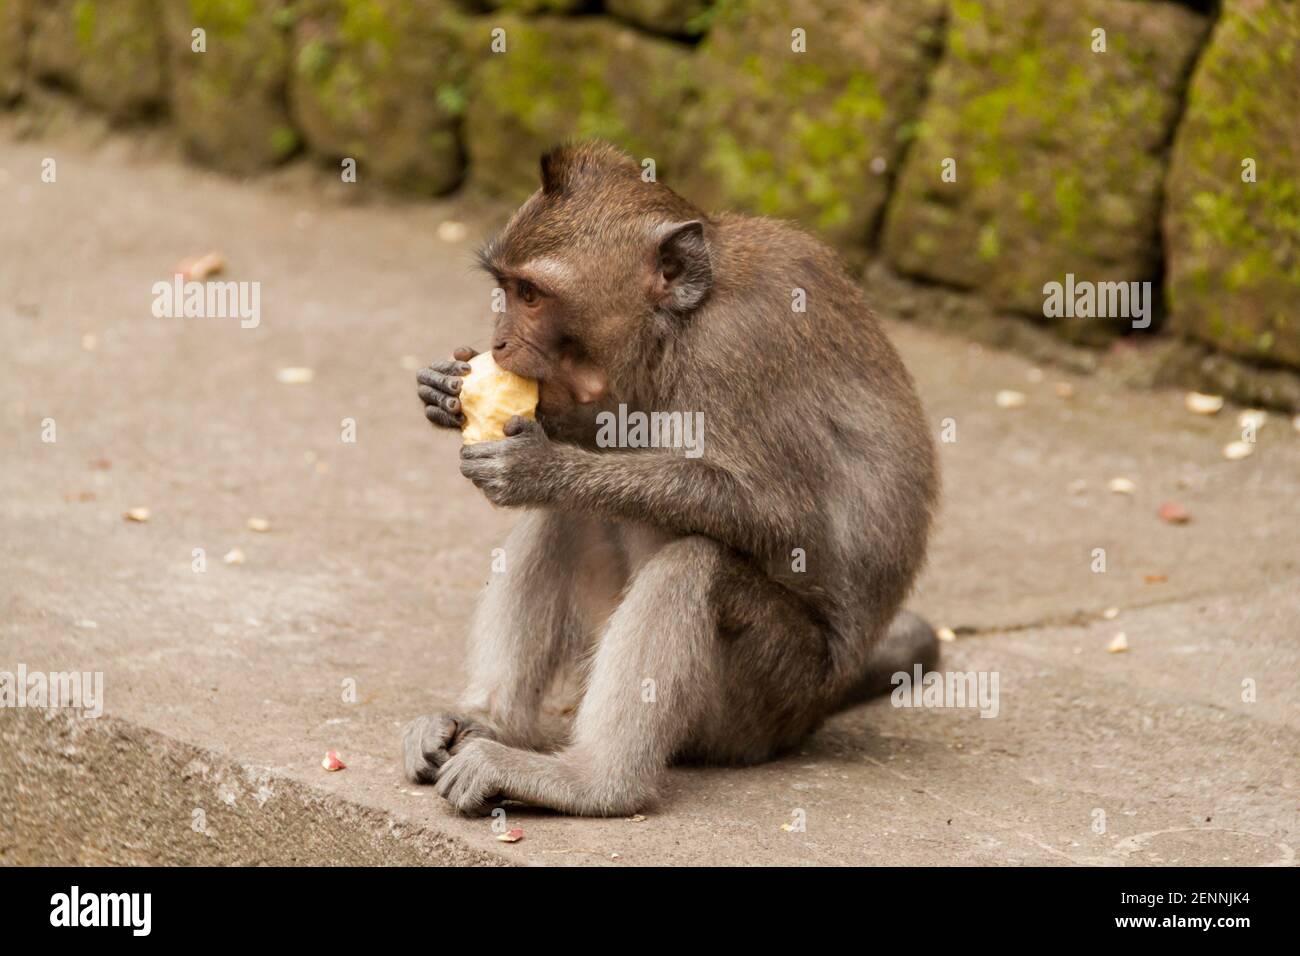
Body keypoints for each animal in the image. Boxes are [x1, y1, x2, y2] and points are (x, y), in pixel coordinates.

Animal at [404, 141, 939, 816]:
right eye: (505, 287)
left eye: (531, 294)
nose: (498, 343)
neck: (678, 327)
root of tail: (818, 708)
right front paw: (448, 392)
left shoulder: (736, 348)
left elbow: (784, 517)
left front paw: (541, 466)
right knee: (571, 518)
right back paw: (488, 720)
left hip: (765, 699)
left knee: (697, 562)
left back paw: (593, 782)